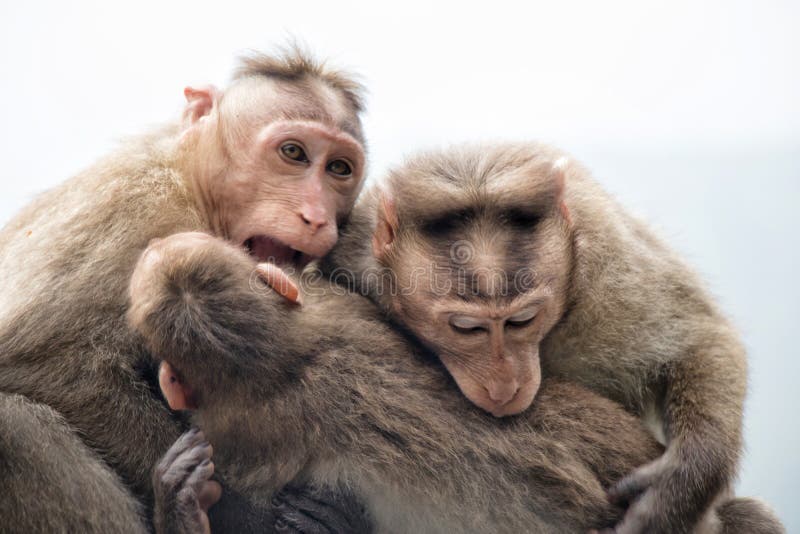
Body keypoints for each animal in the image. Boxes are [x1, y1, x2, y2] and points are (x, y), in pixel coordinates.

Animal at [0, 47, 371, 533]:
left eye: (338, 169)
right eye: (294, 153)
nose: (316, 216)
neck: (189, 181)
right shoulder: (141, 217)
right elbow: (43, 365)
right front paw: (243, 513)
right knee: (13, 426)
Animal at [319, 142, 784, 533]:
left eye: (522, 320)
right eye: (465, 328)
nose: (504, 386)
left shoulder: (611, 271)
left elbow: (700, 338)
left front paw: (680, 487)